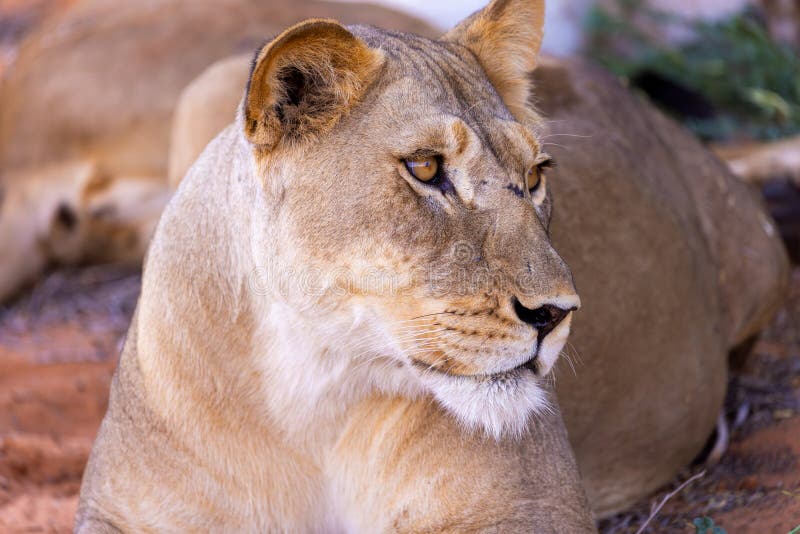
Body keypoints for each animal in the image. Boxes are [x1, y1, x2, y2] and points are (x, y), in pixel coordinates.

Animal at [76, 1, 601, 531]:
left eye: (533, 176)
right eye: (426, 168)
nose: (555, 313)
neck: (312, 391)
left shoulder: (537, 508)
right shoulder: (115, 509)